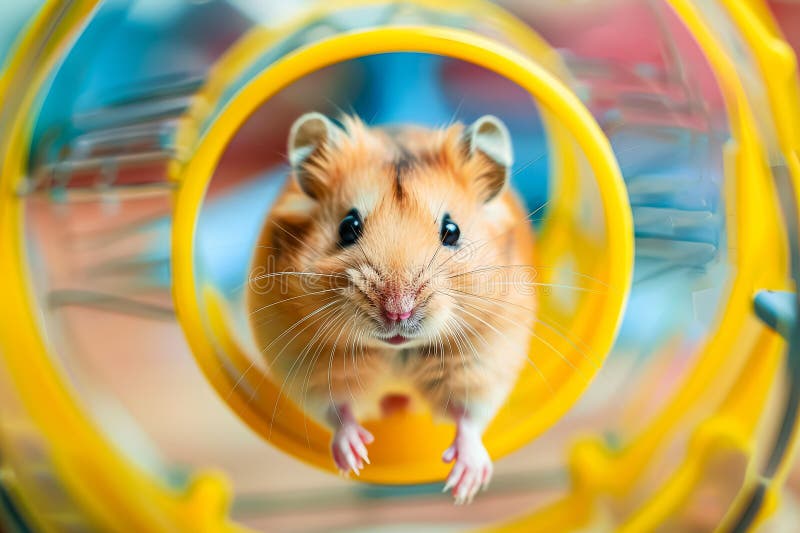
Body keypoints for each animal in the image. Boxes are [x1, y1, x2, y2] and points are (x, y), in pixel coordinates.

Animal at [247, 112, 536, 504]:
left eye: (452, 230)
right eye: (348, 226)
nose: (398, 311)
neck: (398, 351)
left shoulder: (484, 359)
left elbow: (470, 417)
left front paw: (463, 485)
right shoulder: (311, 369)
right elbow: (338, 410)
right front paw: (355, 459)